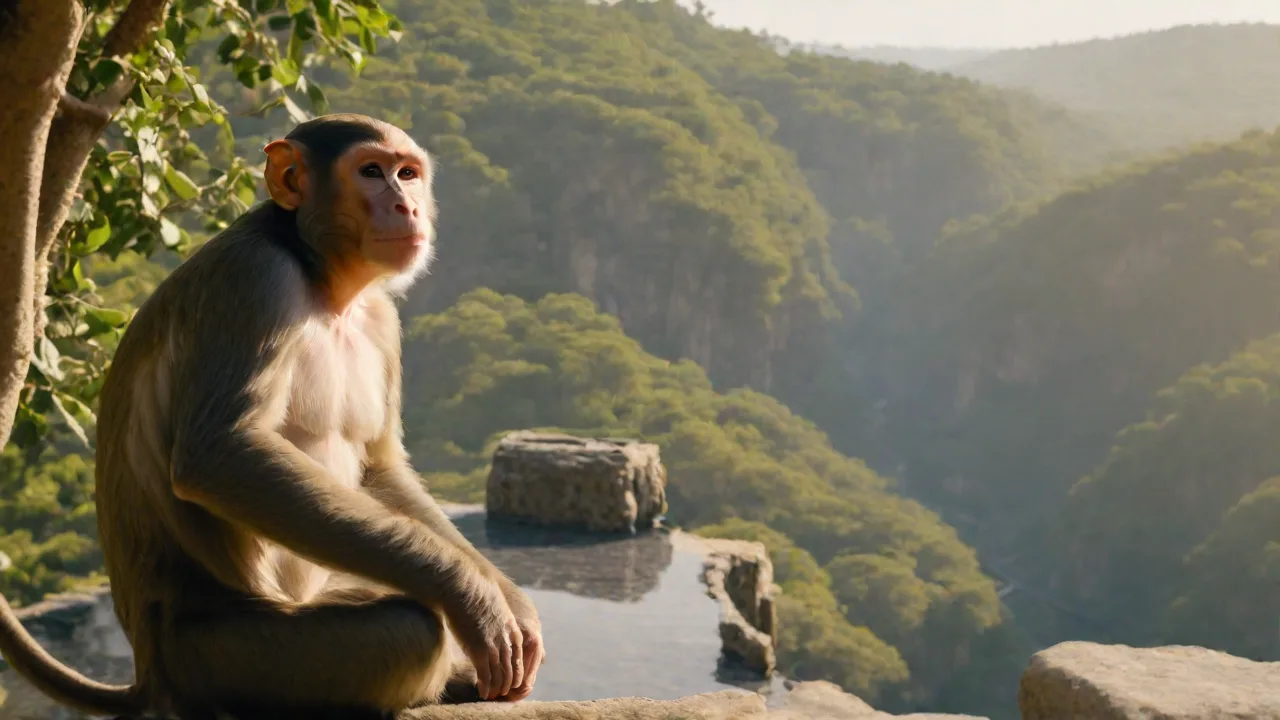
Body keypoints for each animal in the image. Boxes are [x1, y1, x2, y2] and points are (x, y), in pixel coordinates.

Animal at [0, 113, 545, 719]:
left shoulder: (381, 318)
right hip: (223, 656)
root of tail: (149, 669)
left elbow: (380, 468)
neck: (318, 273)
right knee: (412, 631)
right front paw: (472, 597)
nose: (407, 205)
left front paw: (510, 601)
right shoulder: (255, 279)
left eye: (407, 173)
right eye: (371, 172)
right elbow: (222, 455)